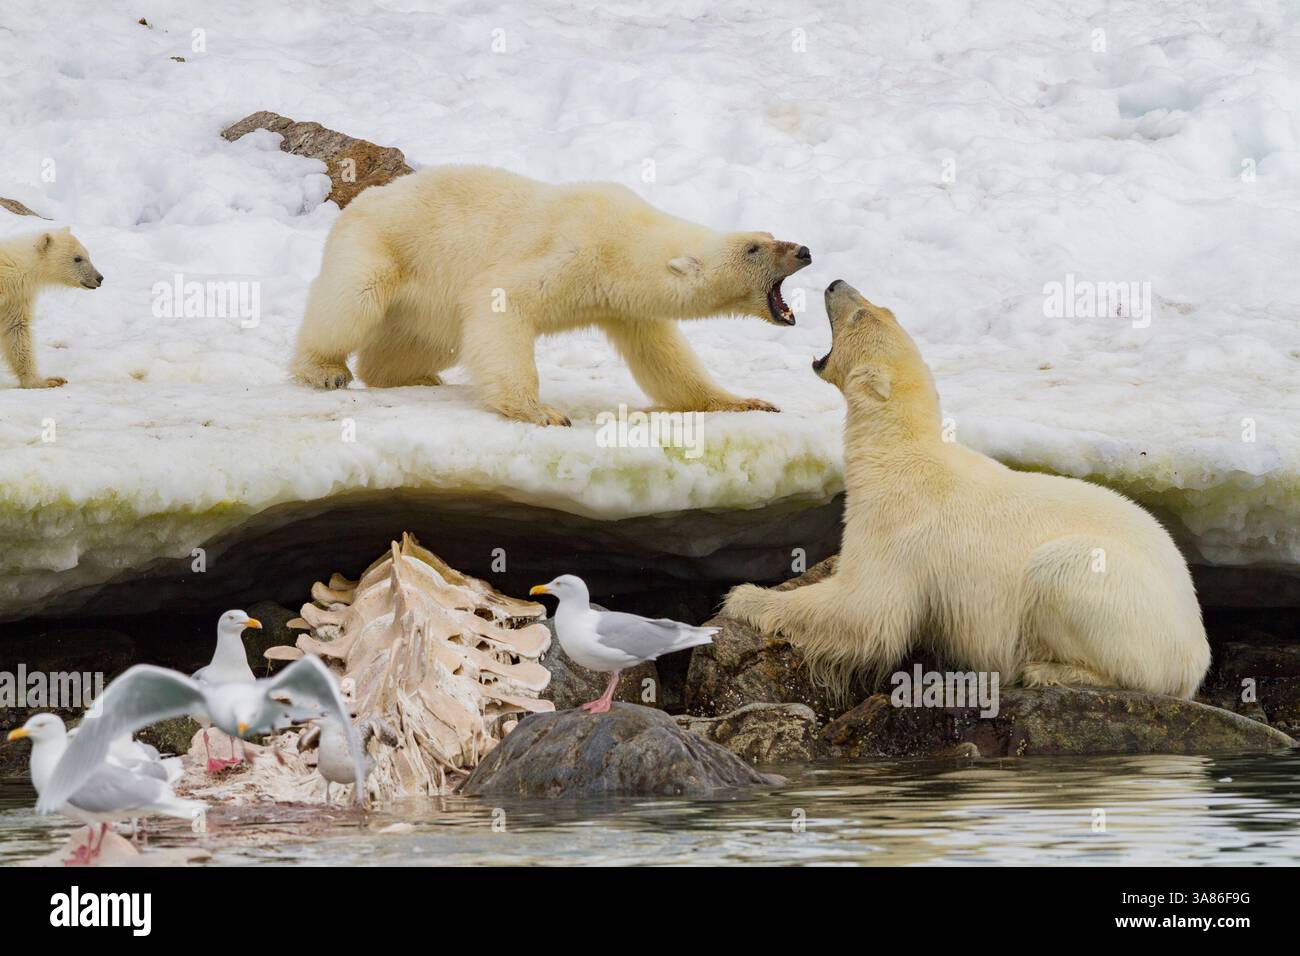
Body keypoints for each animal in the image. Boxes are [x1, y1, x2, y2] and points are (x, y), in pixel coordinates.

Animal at [0, 227, 103, 389]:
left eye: (88, 254)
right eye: (77, 258)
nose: (99, 278)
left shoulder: (16, 297)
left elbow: (16, 329)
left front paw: (46, 381)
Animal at [290, 165, 811, 425]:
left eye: (768, 233)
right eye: (753, 248)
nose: (803, 249)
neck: (625, 241)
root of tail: (360, 200)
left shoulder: (624, 304)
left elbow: (663, 357)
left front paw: (745, 402)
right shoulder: (573, 252)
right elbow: (499, 300)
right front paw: (540, 412)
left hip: (426, 303)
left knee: (427, 341)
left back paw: (416, 376)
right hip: (382, 246)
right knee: (351, 300)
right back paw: (324, 370)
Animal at [723, 279, 1211, 700]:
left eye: (861, 313)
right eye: (884, 308)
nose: (835, 283)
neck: (897, 447)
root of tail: (1196, 653)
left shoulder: (899, 526)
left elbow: (866, 610)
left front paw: (745, 595)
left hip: (1117, 600)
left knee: (1064, 578)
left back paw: (1046, 669)